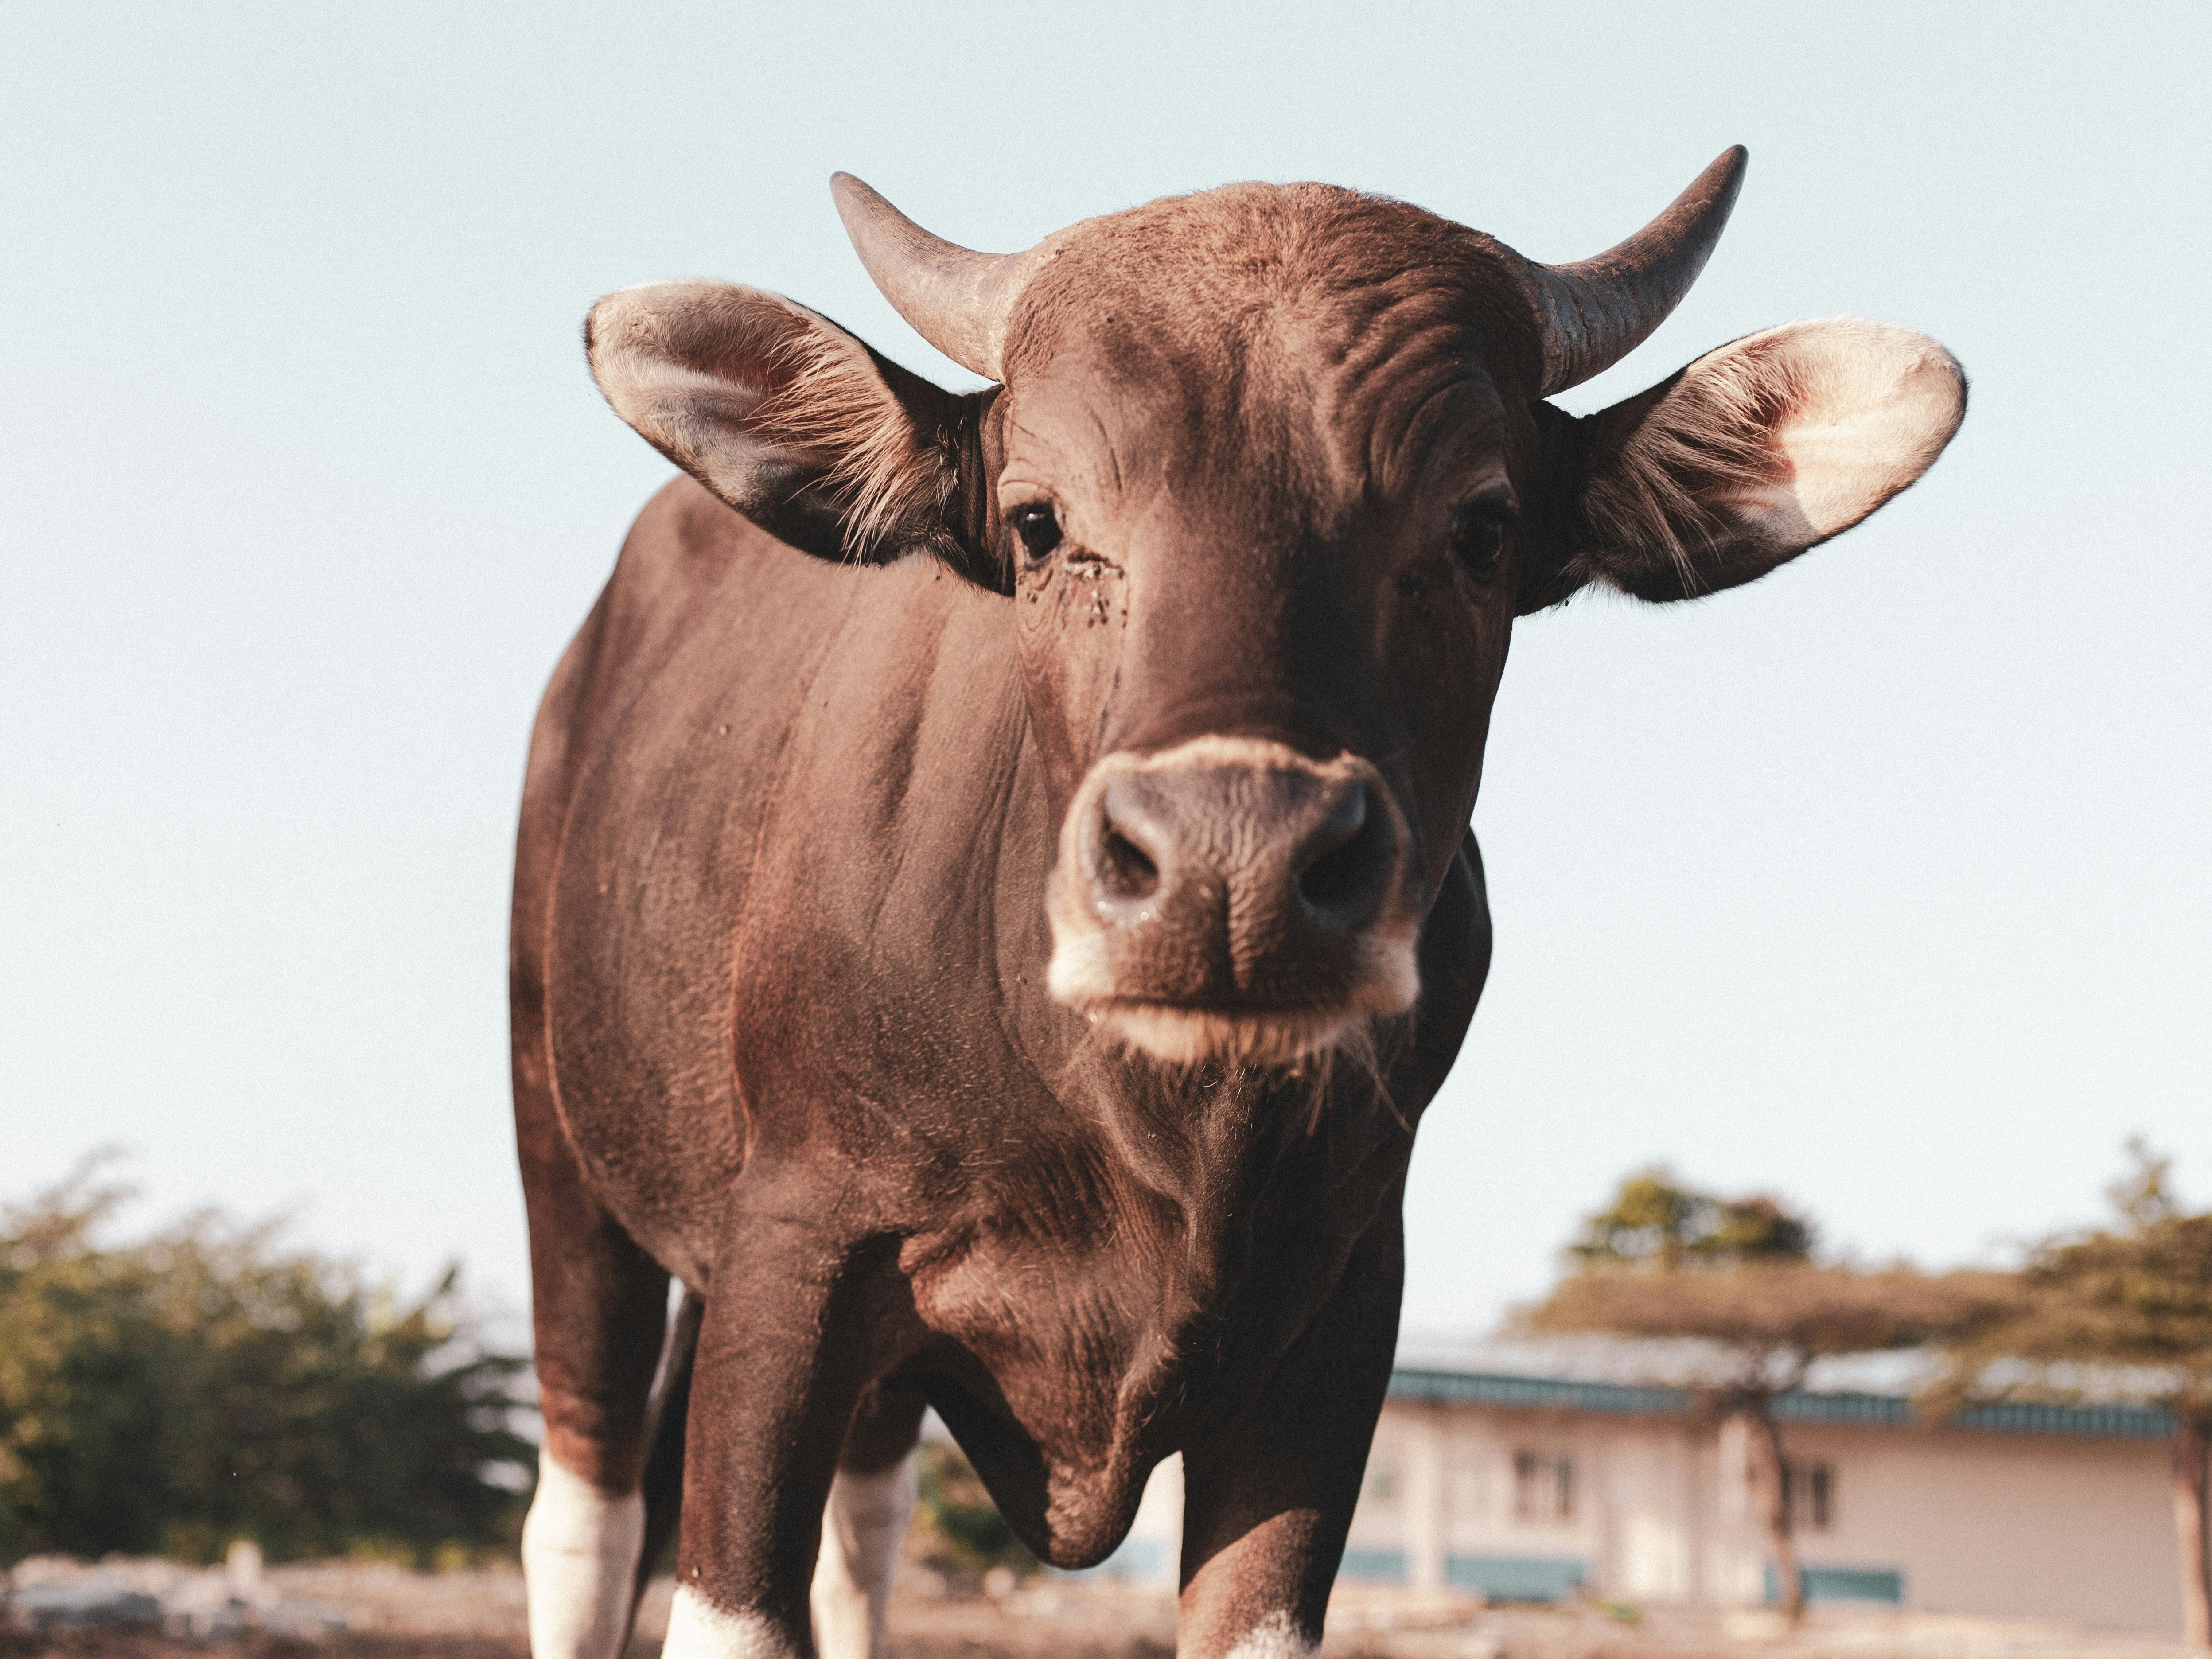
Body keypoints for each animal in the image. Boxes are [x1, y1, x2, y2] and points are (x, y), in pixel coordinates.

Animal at [510, 147, 1964, 1659]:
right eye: (1040, 522)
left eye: (1482, 528)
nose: (1231, 865)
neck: (1152, 1124)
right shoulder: (793, 1257)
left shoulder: (1337, 1321)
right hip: (563, 1155)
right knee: (586, 1510)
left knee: (865, 1535)